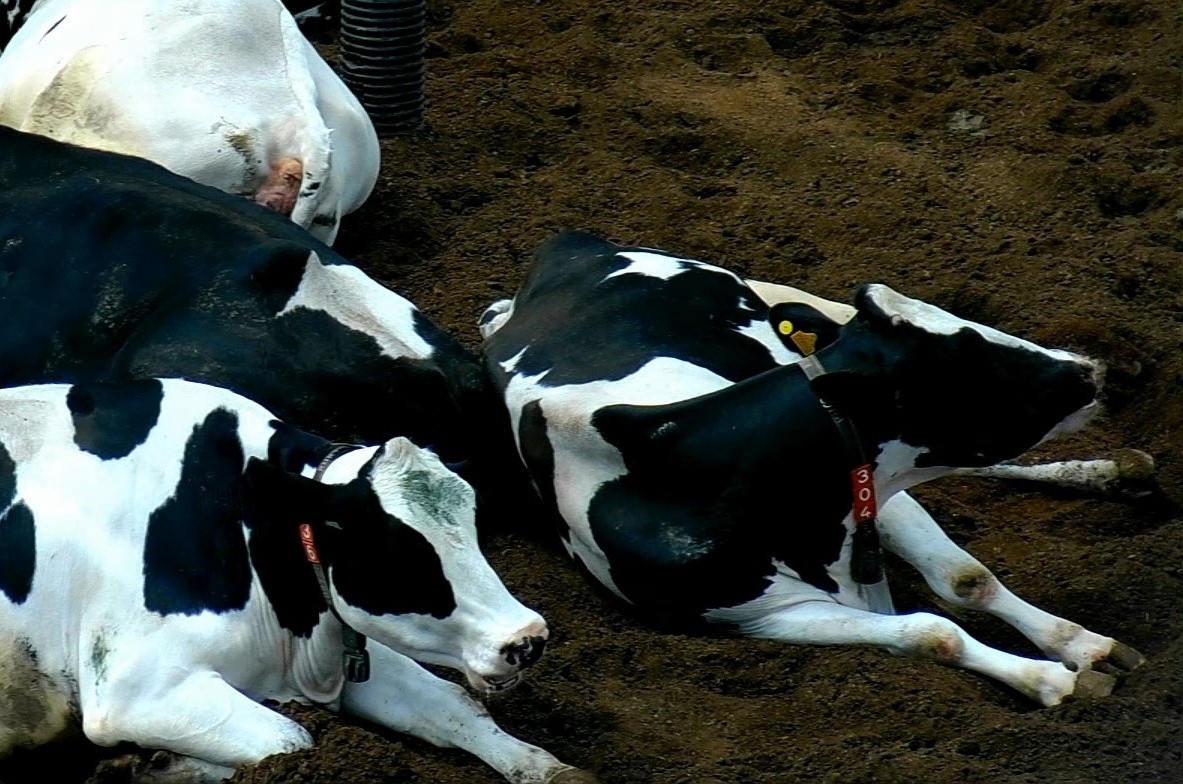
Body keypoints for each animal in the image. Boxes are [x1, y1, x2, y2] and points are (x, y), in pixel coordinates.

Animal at [0, 377, 594, 783]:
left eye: (473, 525)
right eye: (396, 550)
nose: (527, 639)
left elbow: (453, 706)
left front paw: (546, 767)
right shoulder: (134, 689)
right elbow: (293, 741)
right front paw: (158, 766)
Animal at [479, 230, 1147, 707]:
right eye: (969, 368)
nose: (1090, 371)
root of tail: (569, 245)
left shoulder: (873, 486)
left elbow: (966, 579)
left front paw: (1083, 646)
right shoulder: (763, 614)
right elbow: (932, 631)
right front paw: (1053, 679)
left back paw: (1111, 469)